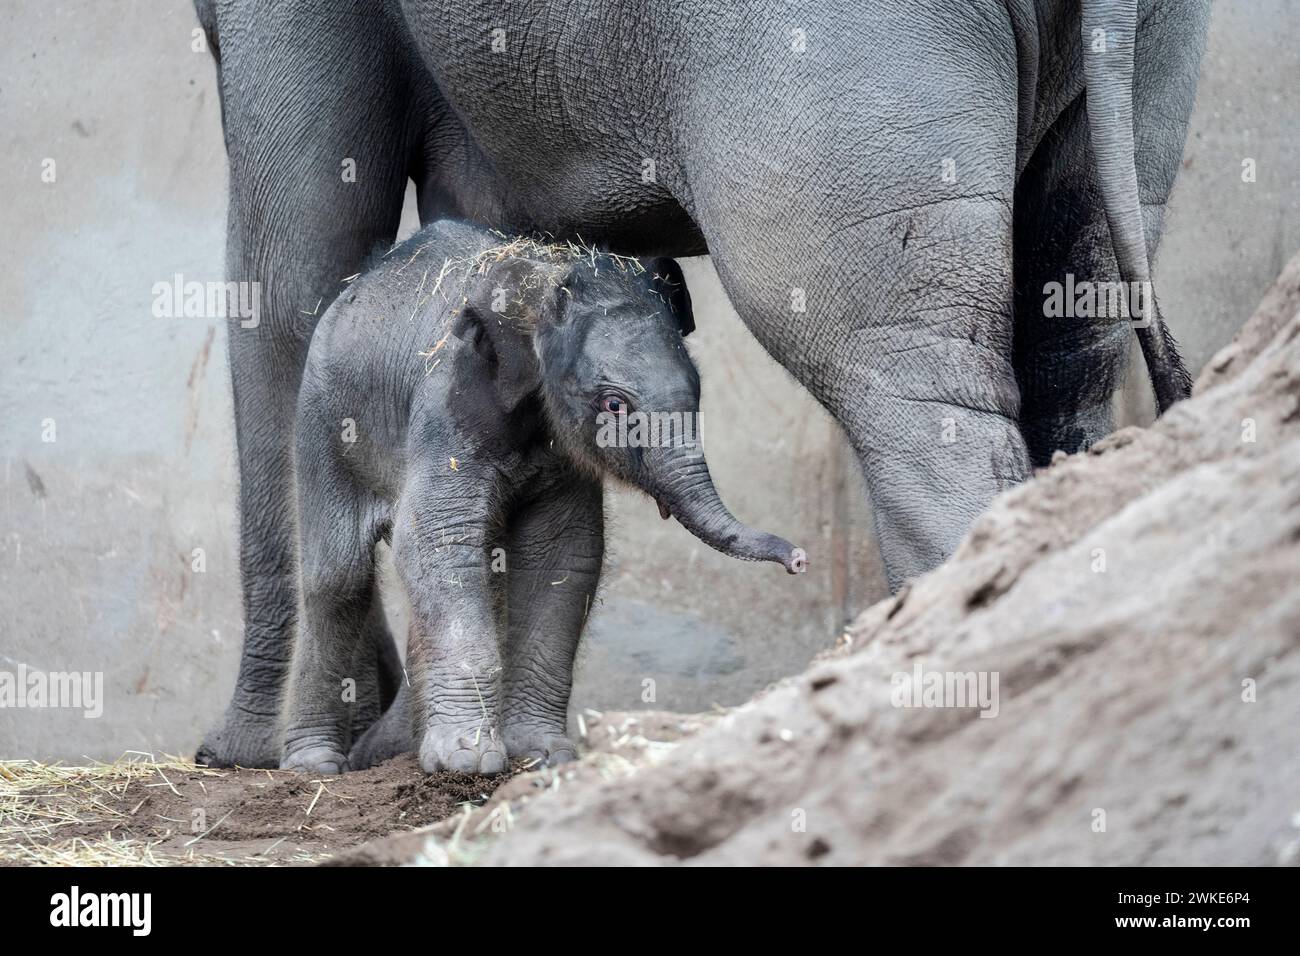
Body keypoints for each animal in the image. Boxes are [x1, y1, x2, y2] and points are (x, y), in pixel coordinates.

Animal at [282, 219, 805, 775]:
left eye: (698, 392)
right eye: (613, 405)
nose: (799, 559)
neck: (548, 270)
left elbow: (563, 553)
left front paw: (541, 755)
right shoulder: (450, 406)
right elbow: (435, 542)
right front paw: (469, 761)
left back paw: (393, 751)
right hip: (323, 420)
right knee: (337, 578)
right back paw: (316, 766)